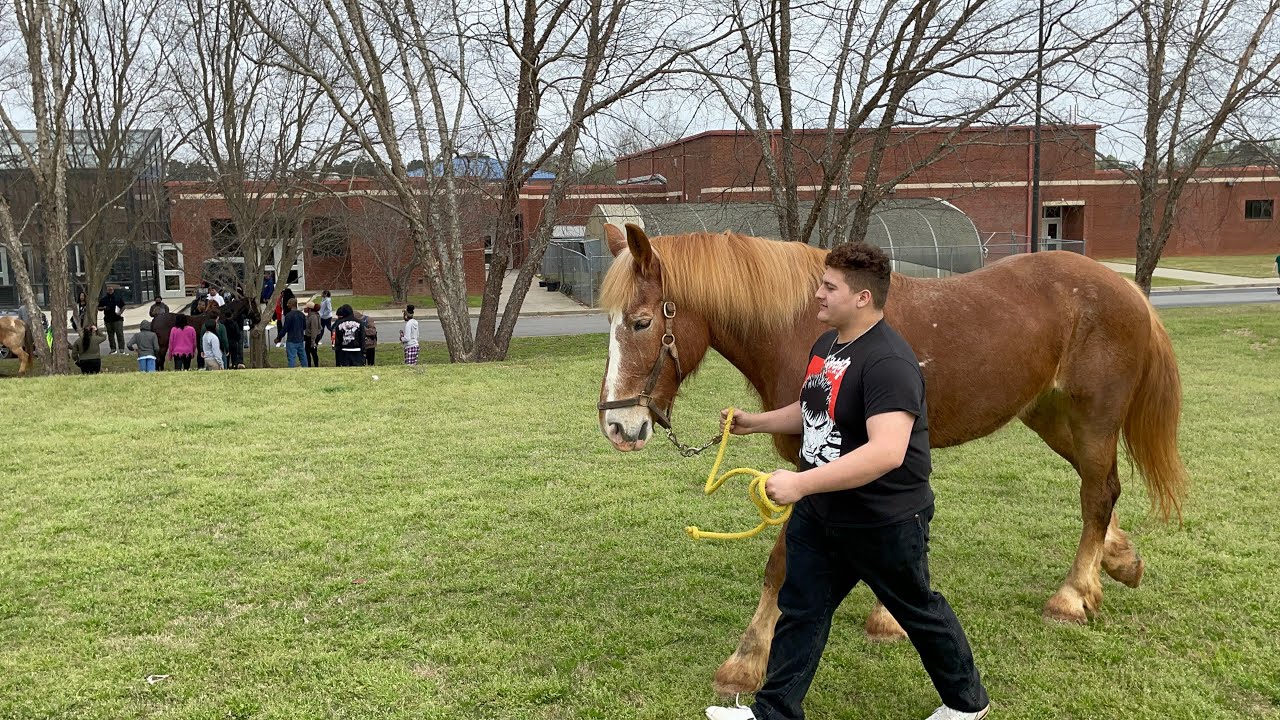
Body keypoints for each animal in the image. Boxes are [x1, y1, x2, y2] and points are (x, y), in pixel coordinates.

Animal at [595, 223, 1187, 696]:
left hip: (1093, 419)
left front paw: (746, 661)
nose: (617, 426)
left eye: (642, 322)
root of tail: (1127, 290)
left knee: (1097, 492)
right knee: (1100, 486)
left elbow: (782, 566)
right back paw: (1119, 560)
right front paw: (888, 619)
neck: (807, 329)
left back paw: (1072, 596)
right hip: (1047, 414)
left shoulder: (811, 471)